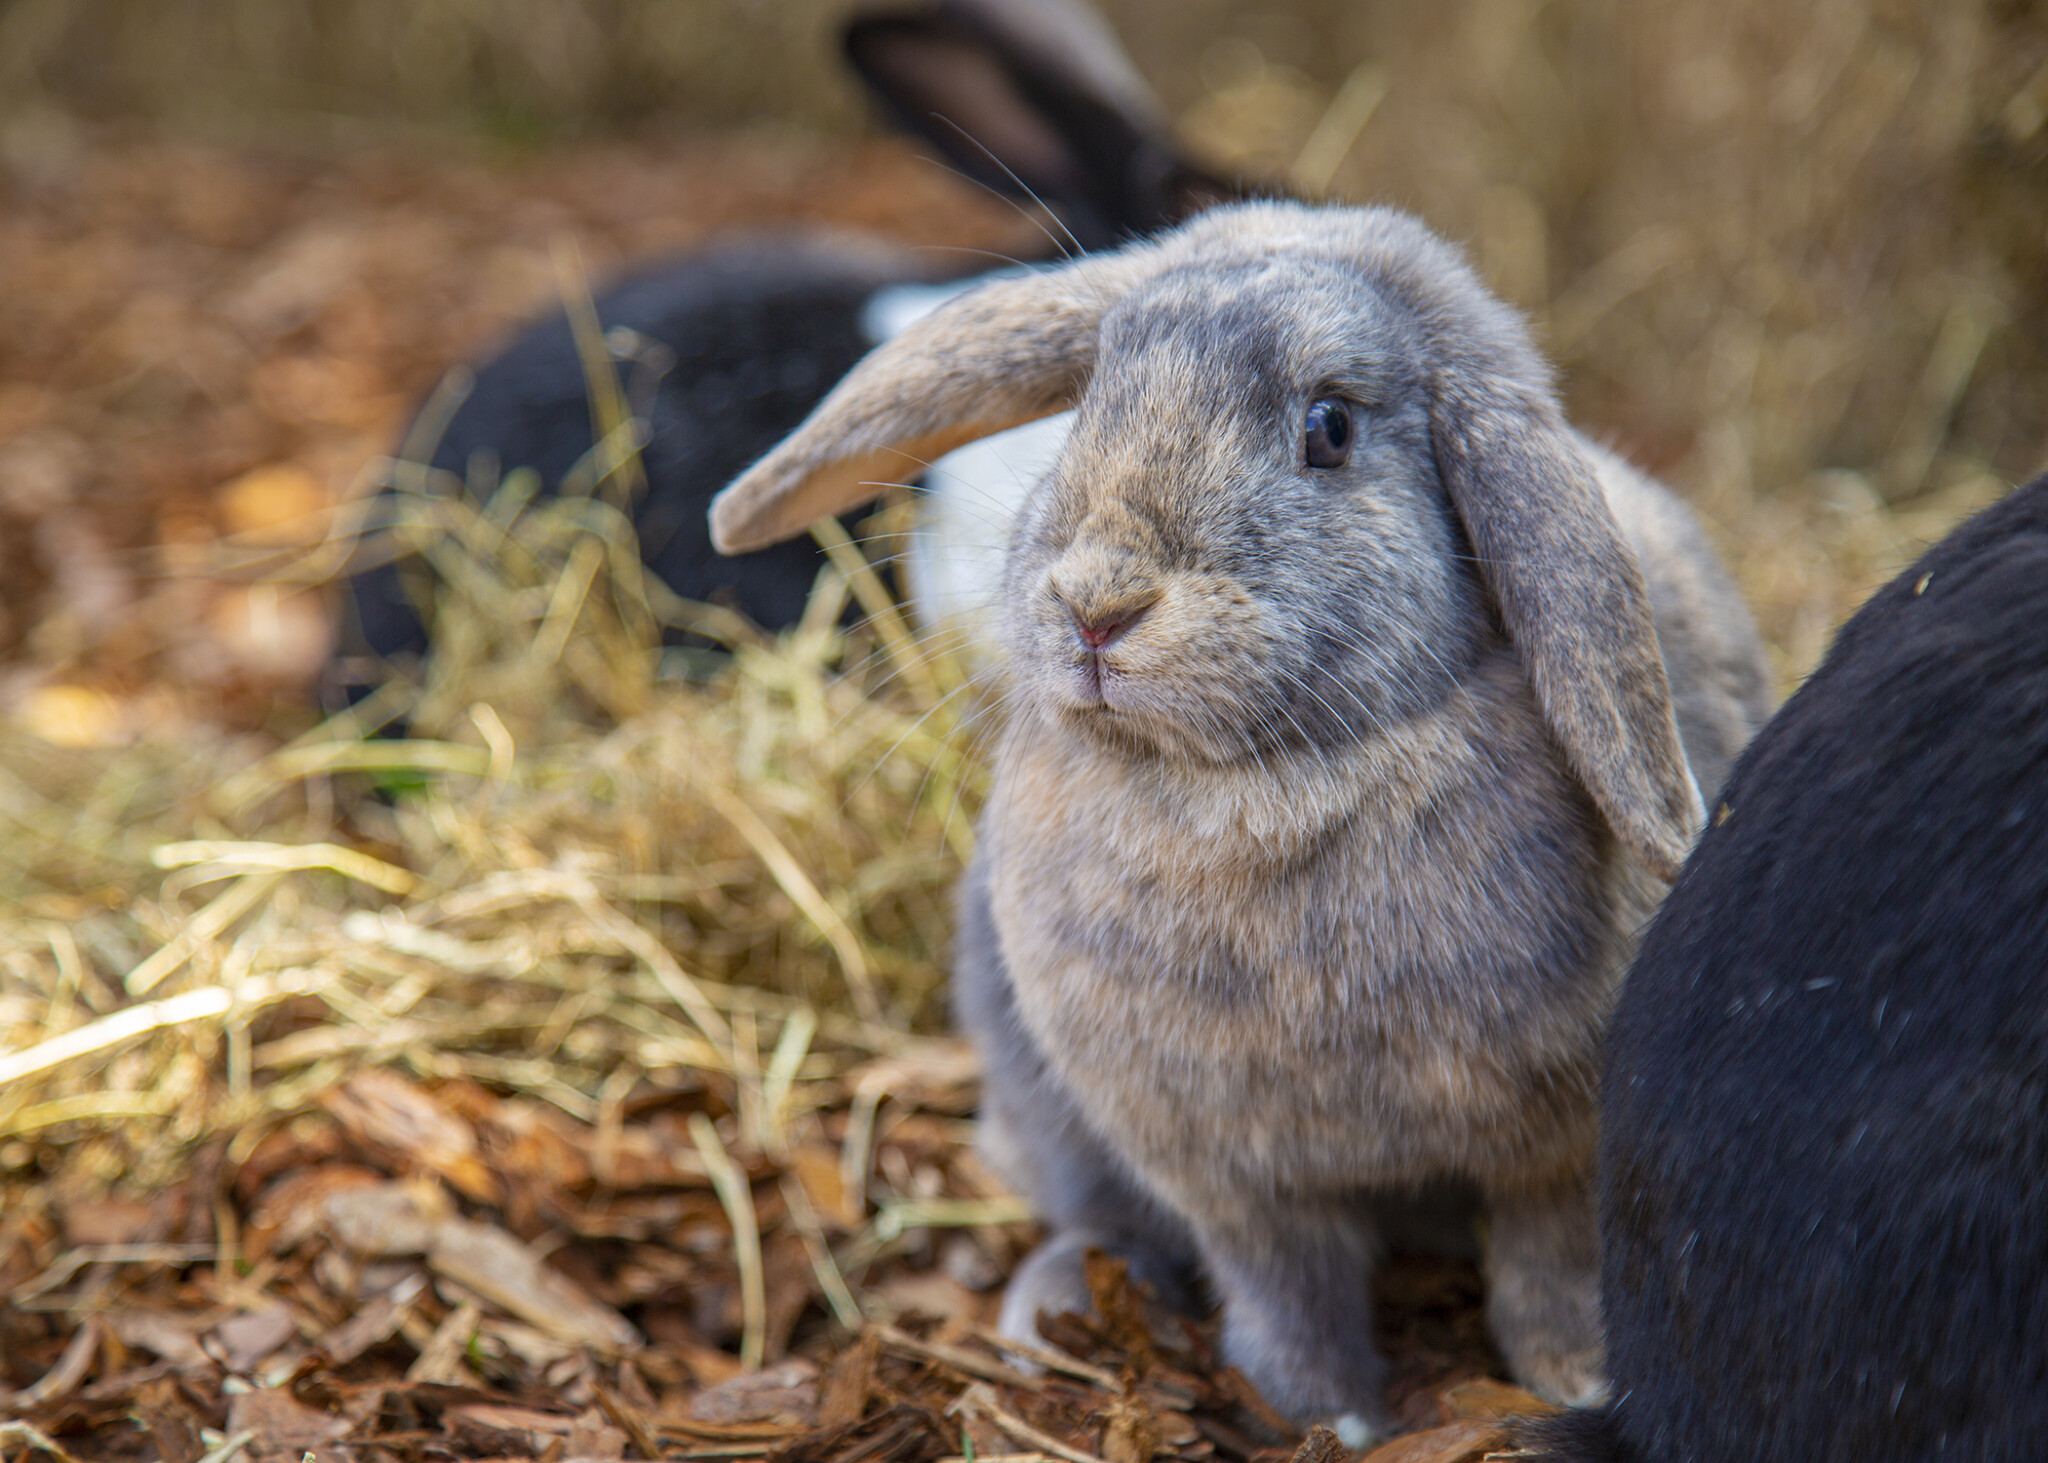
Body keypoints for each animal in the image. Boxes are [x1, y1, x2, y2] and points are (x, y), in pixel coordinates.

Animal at [706, 200, 1774, 1437]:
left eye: (1328, 427)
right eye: (1091, 398)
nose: (1098, 603)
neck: (1255, 784)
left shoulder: (1553, 1153)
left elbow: (1545, 1262)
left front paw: (1571, 1379)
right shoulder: (1229, 1169)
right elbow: (1284, 1283)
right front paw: (1316, 1413)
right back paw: (1055, 1306)